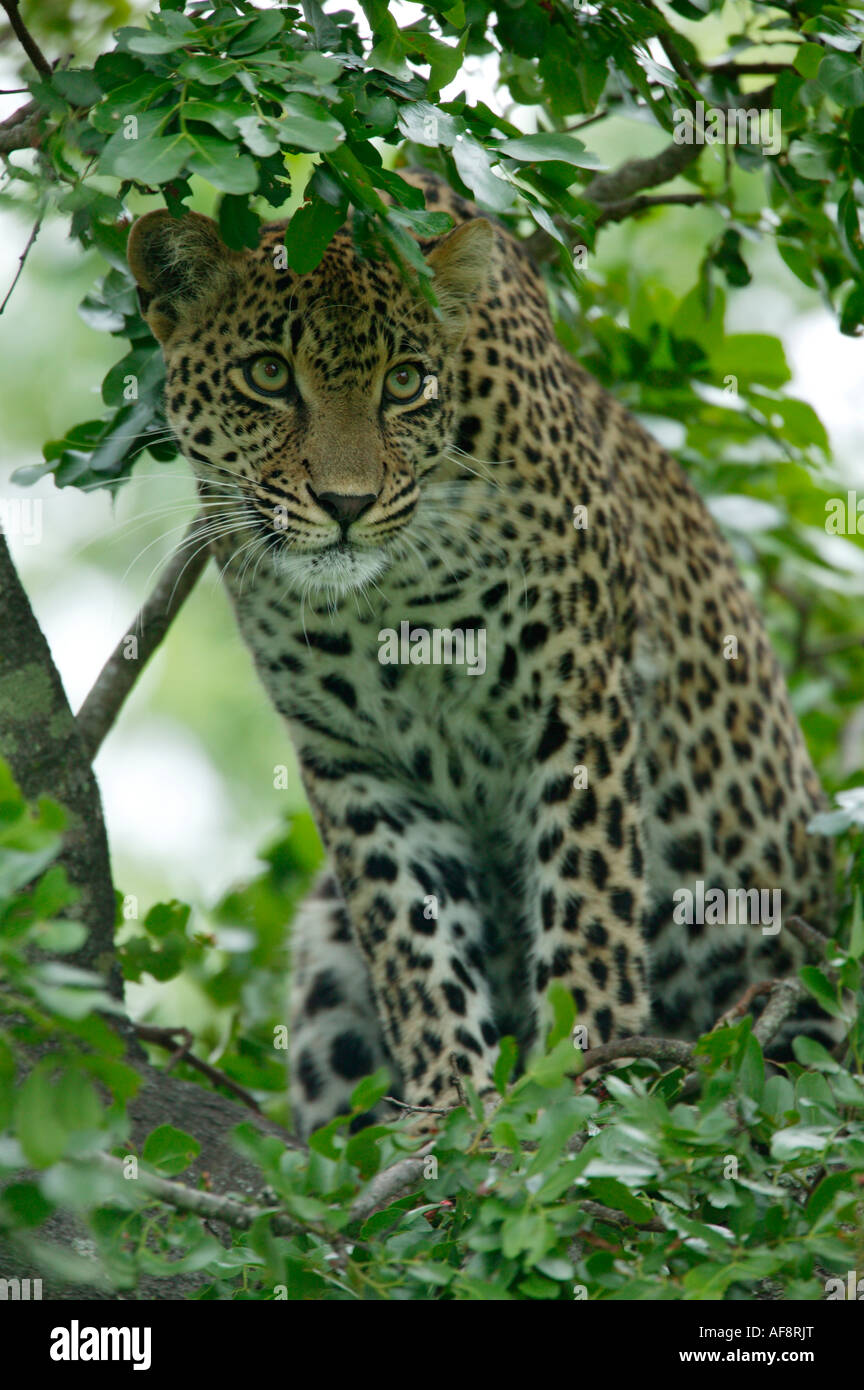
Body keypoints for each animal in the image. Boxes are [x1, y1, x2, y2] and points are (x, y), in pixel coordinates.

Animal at [127, 168, 834, 1138]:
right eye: (268, 375)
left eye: (406, 382)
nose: (346, 504)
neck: (394, 594)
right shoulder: (357, 760)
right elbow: (412, 937)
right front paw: (447, 1108)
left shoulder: (577, 705)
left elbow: (587, 907)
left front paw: (585, 1085)